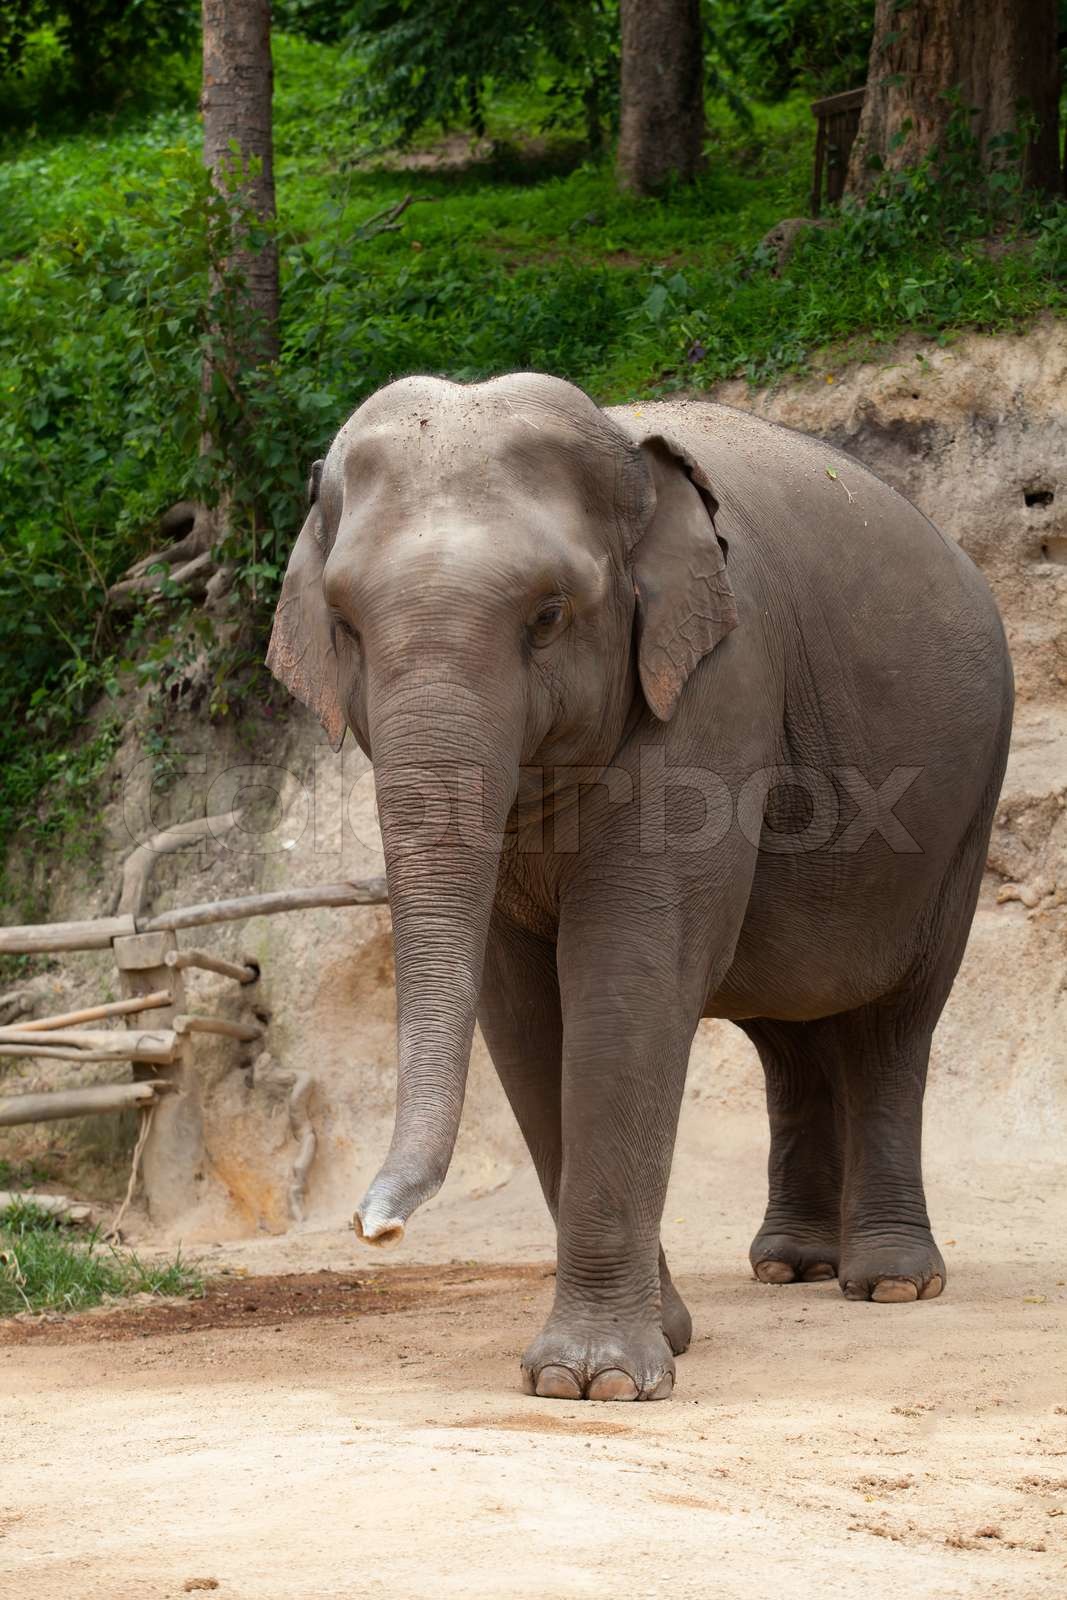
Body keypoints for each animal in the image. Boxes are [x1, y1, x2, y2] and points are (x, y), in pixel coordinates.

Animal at [267, 372, 1013, 1403]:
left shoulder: (720, 681)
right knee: (791, 1038)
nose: (371, 1227)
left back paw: (890, 1284)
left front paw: (597, 1381)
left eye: (547, 617)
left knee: (893, 1023)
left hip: (963, 810)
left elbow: (626, 975)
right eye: (343, 626)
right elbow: (521, 1013)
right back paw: (789, 1266)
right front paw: (655, 1341)